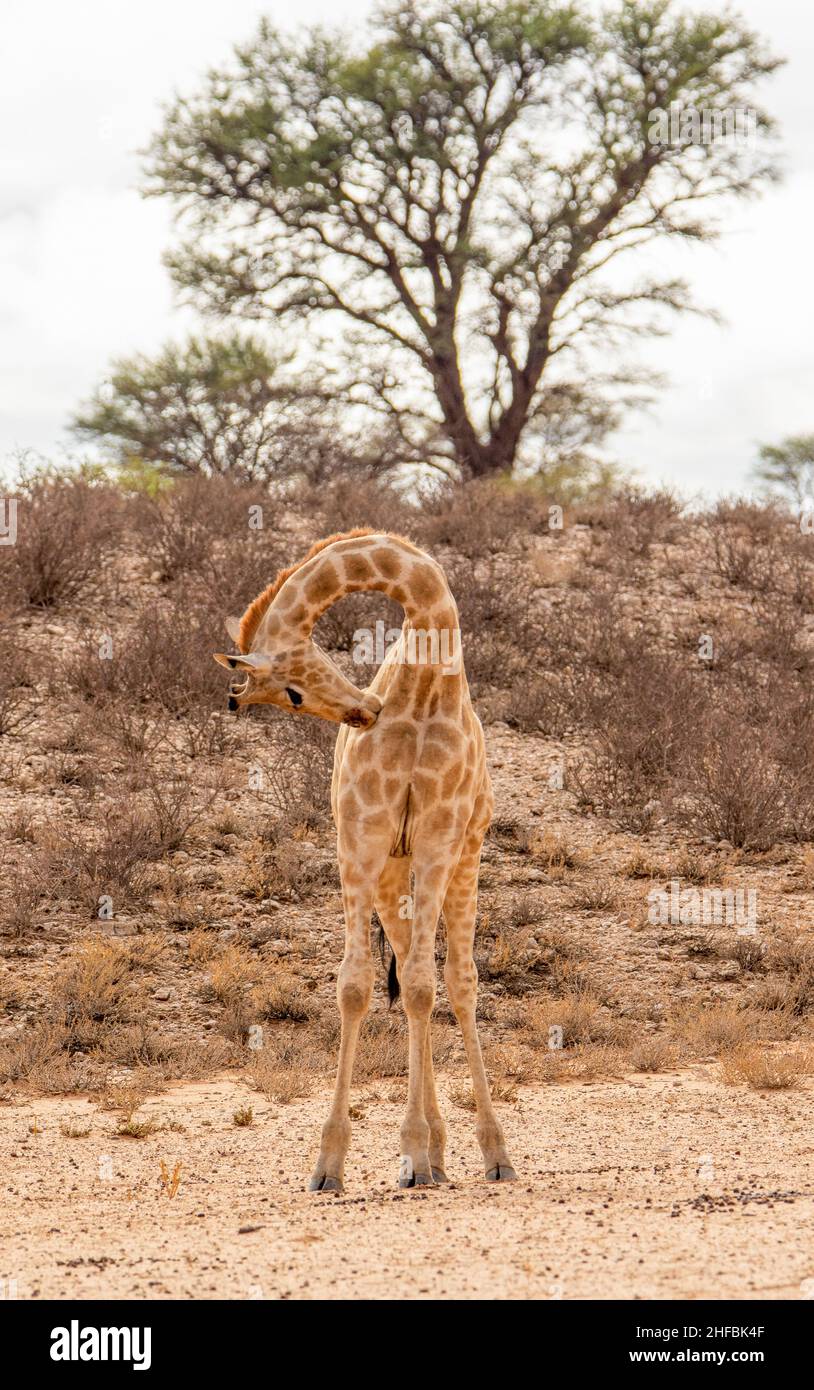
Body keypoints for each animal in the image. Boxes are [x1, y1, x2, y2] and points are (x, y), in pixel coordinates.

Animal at [214, 528, 516, 1191]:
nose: (365, 711)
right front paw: (329, 1164)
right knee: (410, 971)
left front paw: (410, 1152)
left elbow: (427, 988)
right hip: (391, 875)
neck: (425, 683)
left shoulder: (437, 837)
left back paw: (491, 1155)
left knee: (458, 983)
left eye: (292, 692)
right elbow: (355, 987)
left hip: (467, 855)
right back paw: (435, 1155)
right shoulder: (361, 839)